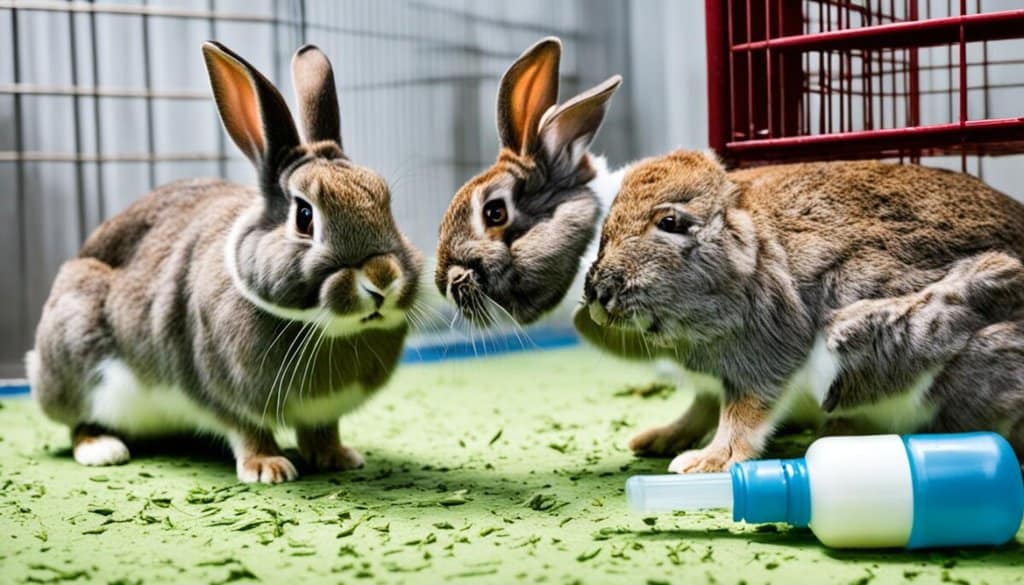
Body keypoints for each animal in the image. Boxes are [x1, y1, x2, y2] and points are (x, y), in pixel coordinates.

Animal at [25, 42, 422, 484]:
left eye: (386, 201)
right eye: (305, 216)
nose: (382, 278)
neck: (323, 327)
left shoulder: (321, 413)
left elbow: (321, 431)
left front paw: (339, 456)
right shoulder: (223, 392)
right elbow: (248, 430)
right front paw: (267, 468)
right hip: (76, 354)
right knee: (77, 421)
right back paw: (103, 449)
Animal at [576, 150, 1024, 472]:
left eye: (670, 222)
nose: (597, 291)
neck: (748, 252)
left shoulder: (763, 356)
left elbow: (741, 417)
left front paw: (703, 462)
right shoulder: (714, 380)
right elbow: (701, 408)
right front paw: (658, 439)